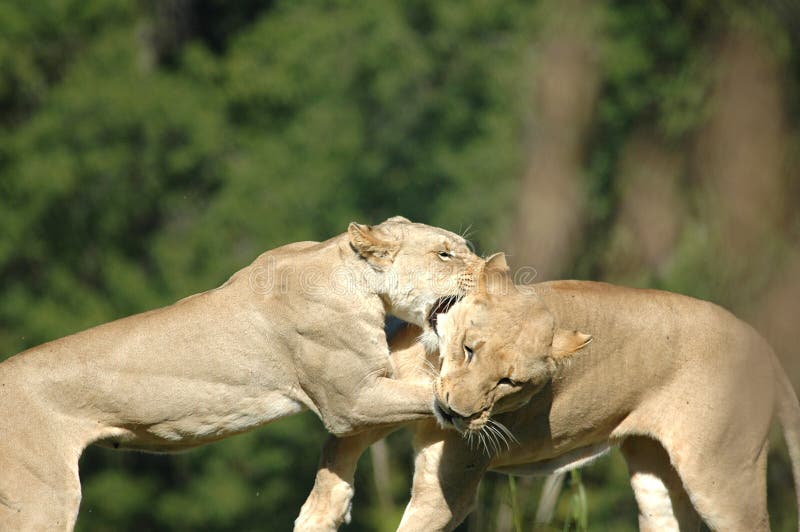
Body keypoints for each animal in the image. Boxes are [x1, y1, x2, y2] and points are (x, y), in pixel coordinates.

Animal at [0, 216, 483, 531]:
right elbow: (424, 392)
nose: (490, 273)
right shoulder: (350, 402)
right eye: (444, 254)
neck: (351, 274)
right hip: (42, 498)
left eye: (469, 249)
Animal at [297, 253, 800, 532]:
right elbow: (331, 468)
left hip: (722, 473)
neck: (429, 365)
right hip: (656, 476)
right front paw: (318, 518)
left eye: (509, 383)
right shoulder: (365, 403)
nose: (457, 413)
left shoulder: (449, 486)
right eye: (470, 349)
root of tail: (762, 343)